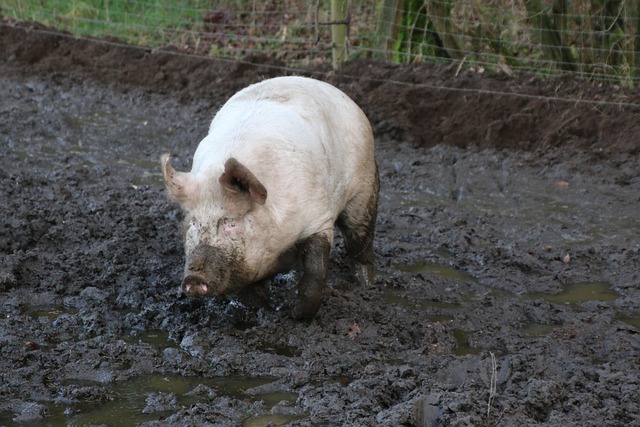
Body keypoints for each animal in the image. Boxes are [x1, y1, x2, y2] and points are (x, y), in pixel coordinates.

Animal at [161, 76, 378, 320]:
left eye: (231, 222)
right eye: (193, 223)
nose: (193, 278)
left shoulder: (318, 218)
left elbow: (316, 269)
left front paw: (296, 315)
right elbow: (249, 292)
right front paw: (260, 312)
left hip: (365, 186)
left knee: (360, 239)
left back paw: (366, 286)